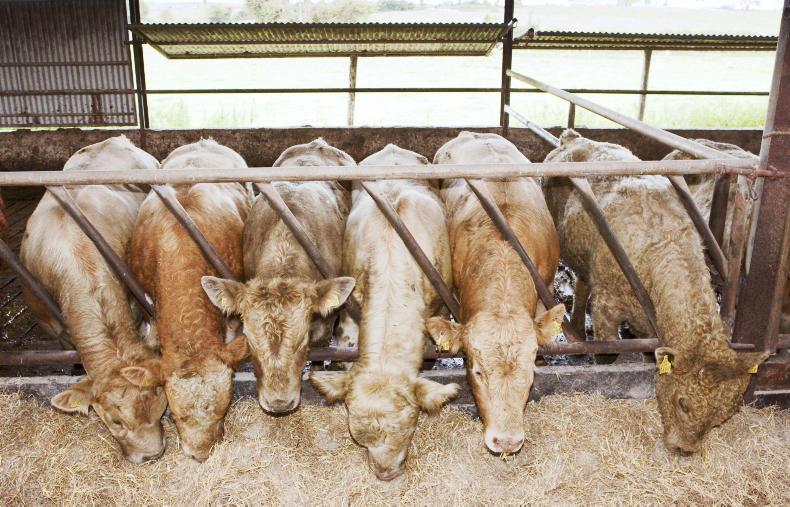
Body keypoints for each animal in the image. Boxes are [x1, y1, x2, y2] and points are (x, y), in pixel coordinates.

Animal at [543, 129, 769, 454]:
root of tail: (573, 137)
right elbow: (607, 354)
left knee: (582, 282)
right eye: (683, 403)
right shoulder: (607, 307)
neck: (659, 247)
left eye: (723, 416)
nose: (684, 450)